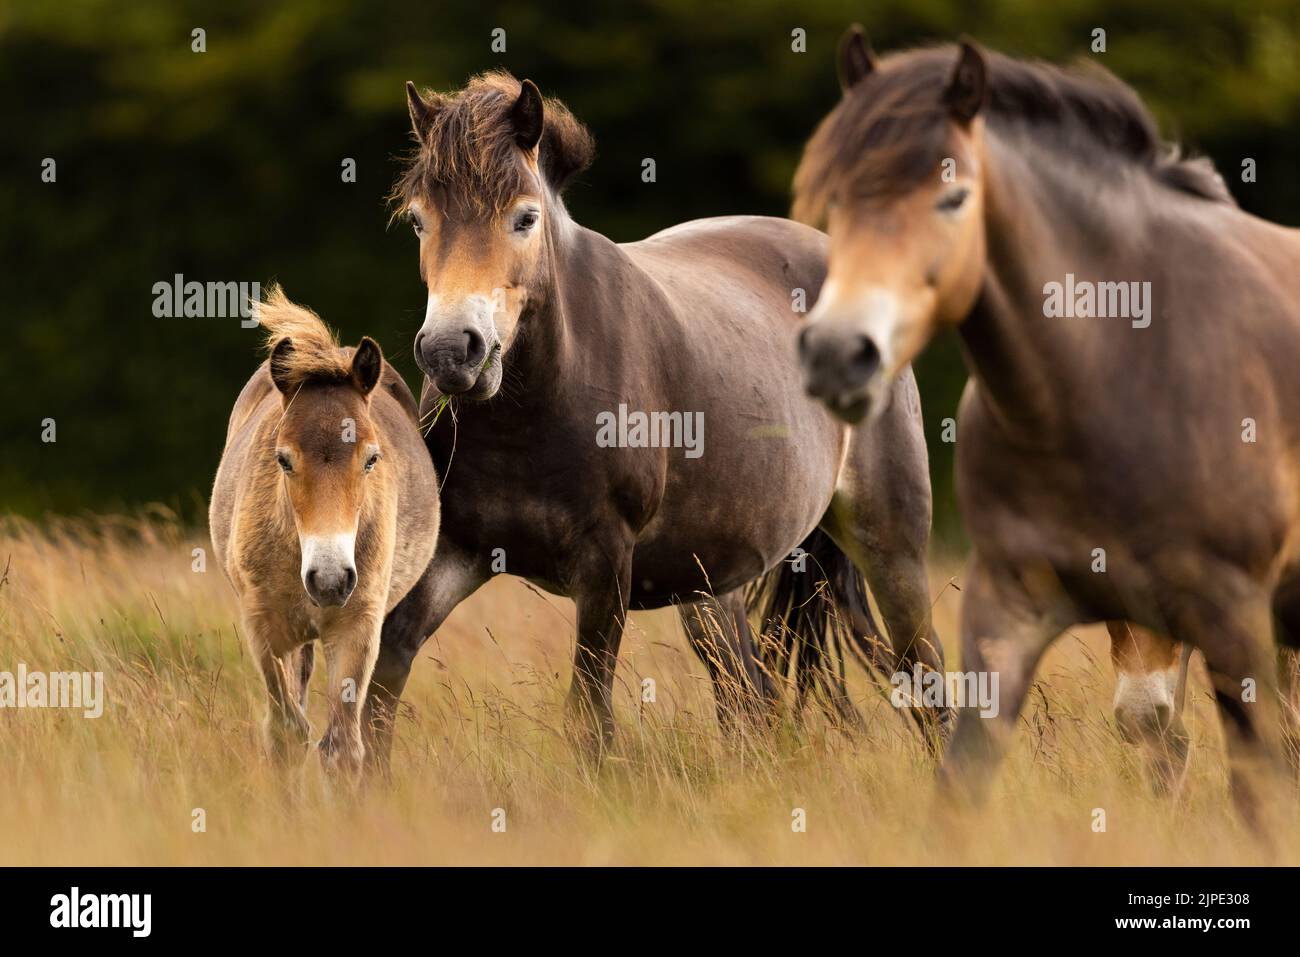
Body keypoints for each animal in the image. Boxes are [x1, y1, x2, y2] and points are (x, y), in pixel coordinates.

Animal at [209, 288, 439, 775]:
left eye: (372, 458)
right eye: (283, 459)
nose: (330, 580)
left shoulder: (358, 626)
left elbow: (342, 745)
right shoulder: (264, 626)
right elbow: (285, 730)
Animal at [366, 70, 949, 766]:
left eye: (524, 218)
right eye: (419, 221)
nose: (453, 351)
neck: (531, 417)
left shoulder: (604, 567)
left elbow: (589, 719)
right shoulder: (453, 553)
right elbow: (379, 690)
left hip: (891, 541)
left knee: (927, 677)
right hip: (712, 587)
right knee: (750, 699)